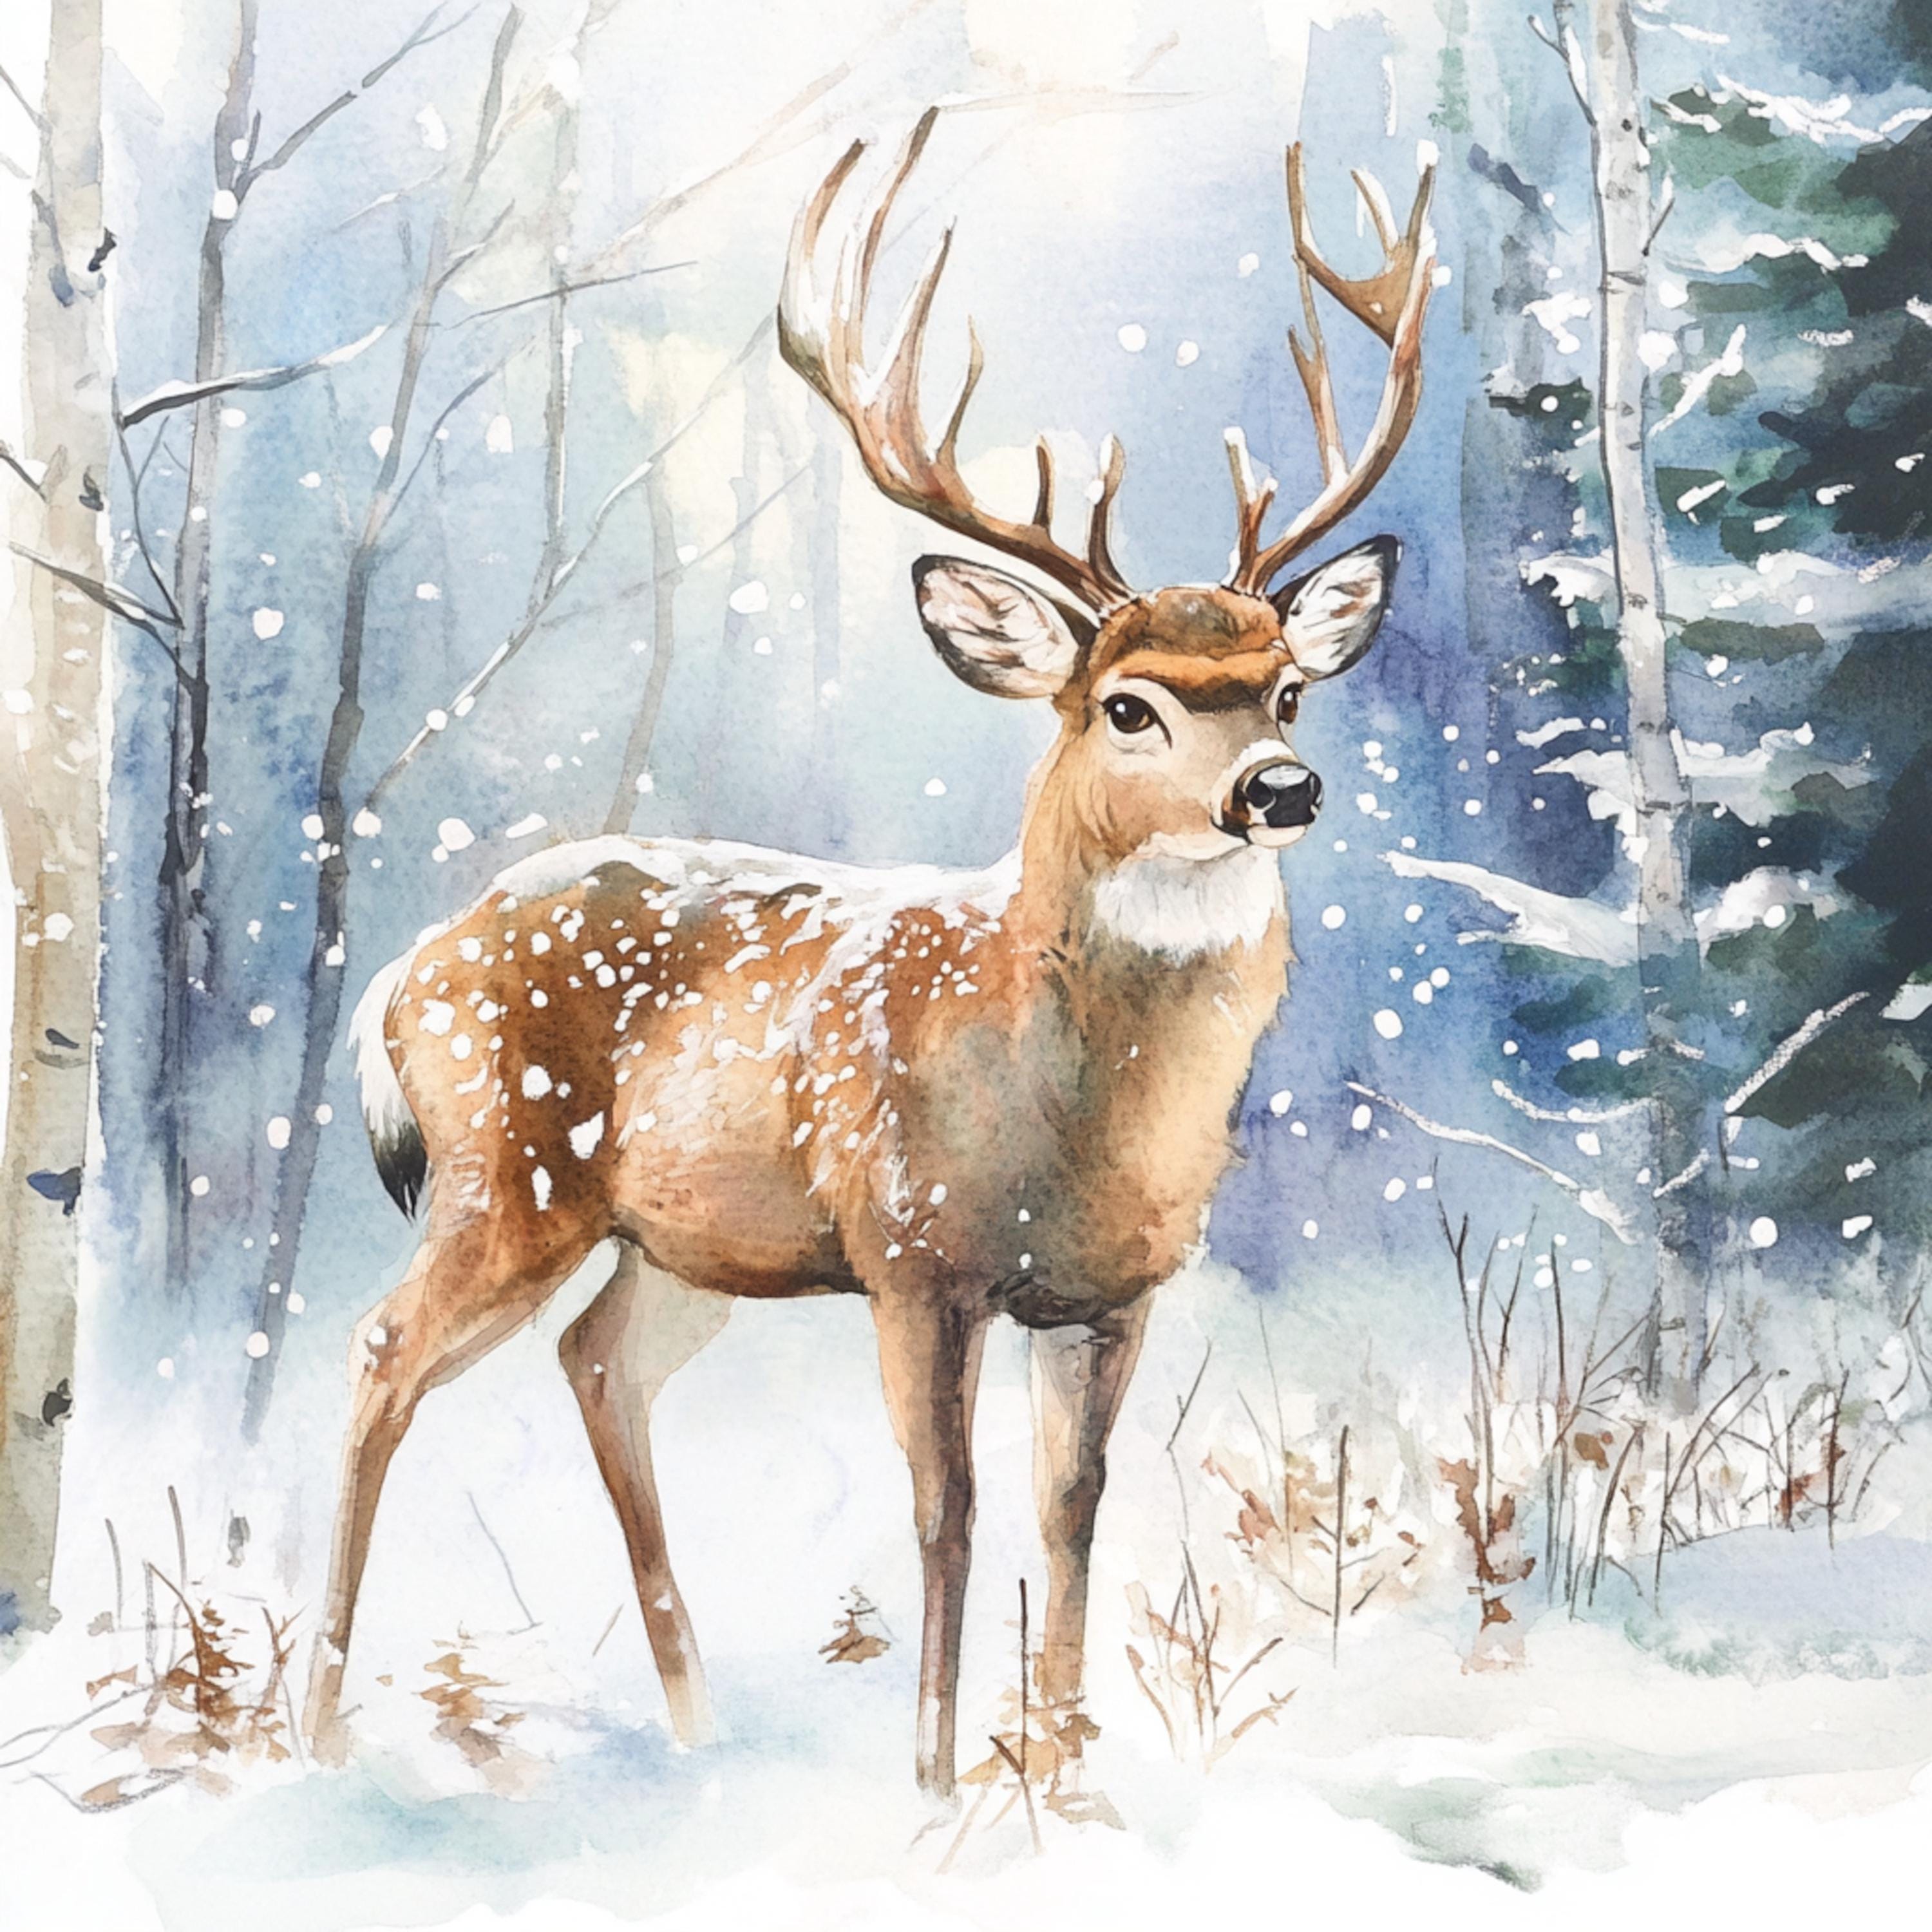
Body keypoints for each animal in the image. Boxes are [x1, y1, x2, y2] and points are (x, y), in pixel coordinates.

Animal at [303, 114, 1435, 1798]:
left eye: (1287, 686)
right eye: (1128, 704)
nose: (1279, 790)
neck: (1066, 1112)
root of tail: (401, 973)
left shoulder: (1112, 1287)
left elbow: (1071, 1507)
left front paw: (1065, 1774)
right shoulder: (914, 1252)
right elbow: (943, 1511)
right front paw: (932, 1781)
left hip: (678, 1238)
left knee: (598, 1366)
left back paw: (698, 1729)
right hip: (505, 1172)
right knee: (381, 1354)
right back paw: (306, 1733)